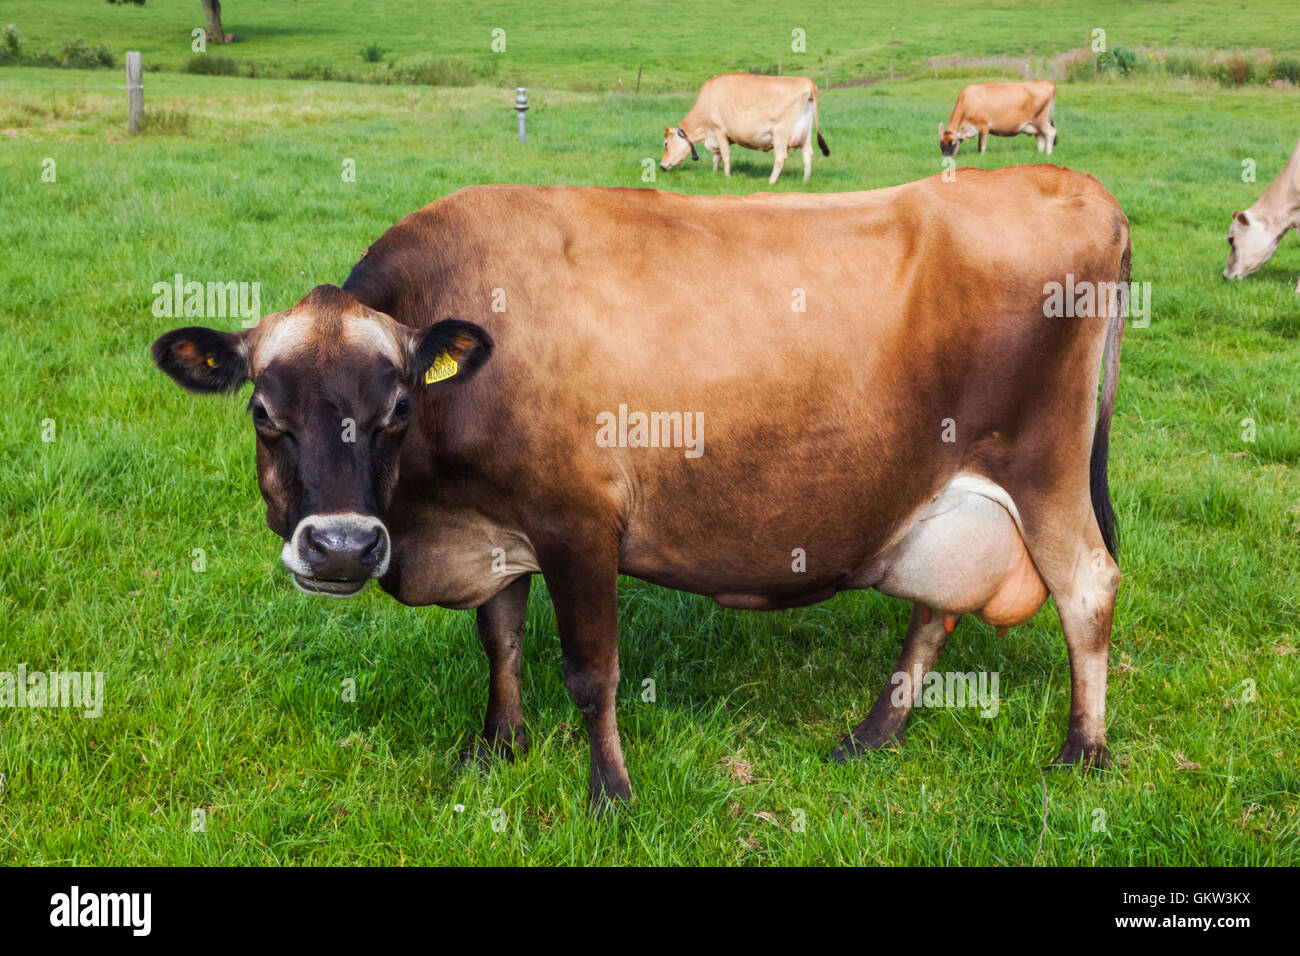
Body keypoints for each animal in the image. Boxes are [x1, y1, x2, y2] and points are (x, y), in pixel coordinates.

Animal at [152, 166, 1129, 812]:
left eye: (396, 408)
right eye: (264, 413)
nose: (342, 545)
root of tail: (1072, 184)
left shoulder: (578, 522)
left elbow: (592, 671)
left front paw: (610, 793)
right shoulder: (497, 525)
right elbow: (501, 639)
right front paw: (496, 747)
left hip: (1044, 471)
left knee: (1087, 587)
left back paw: (1083, 751)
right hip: (938, 491)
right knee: (936, 604)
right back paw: (871, 736)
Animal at [660, 73, 830, 184]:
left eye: (666, 144)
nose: (661, 166)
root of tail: (806, 82)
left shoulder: (719, 130)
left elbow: (725, 155)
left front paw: (727, 176)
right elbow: (717, 157)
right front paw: (714, 172)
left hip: (781, 135)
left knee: (781, 157)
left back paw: (771, 181)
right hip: (804, 135)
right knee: (807, 154)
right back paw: (805, 180)